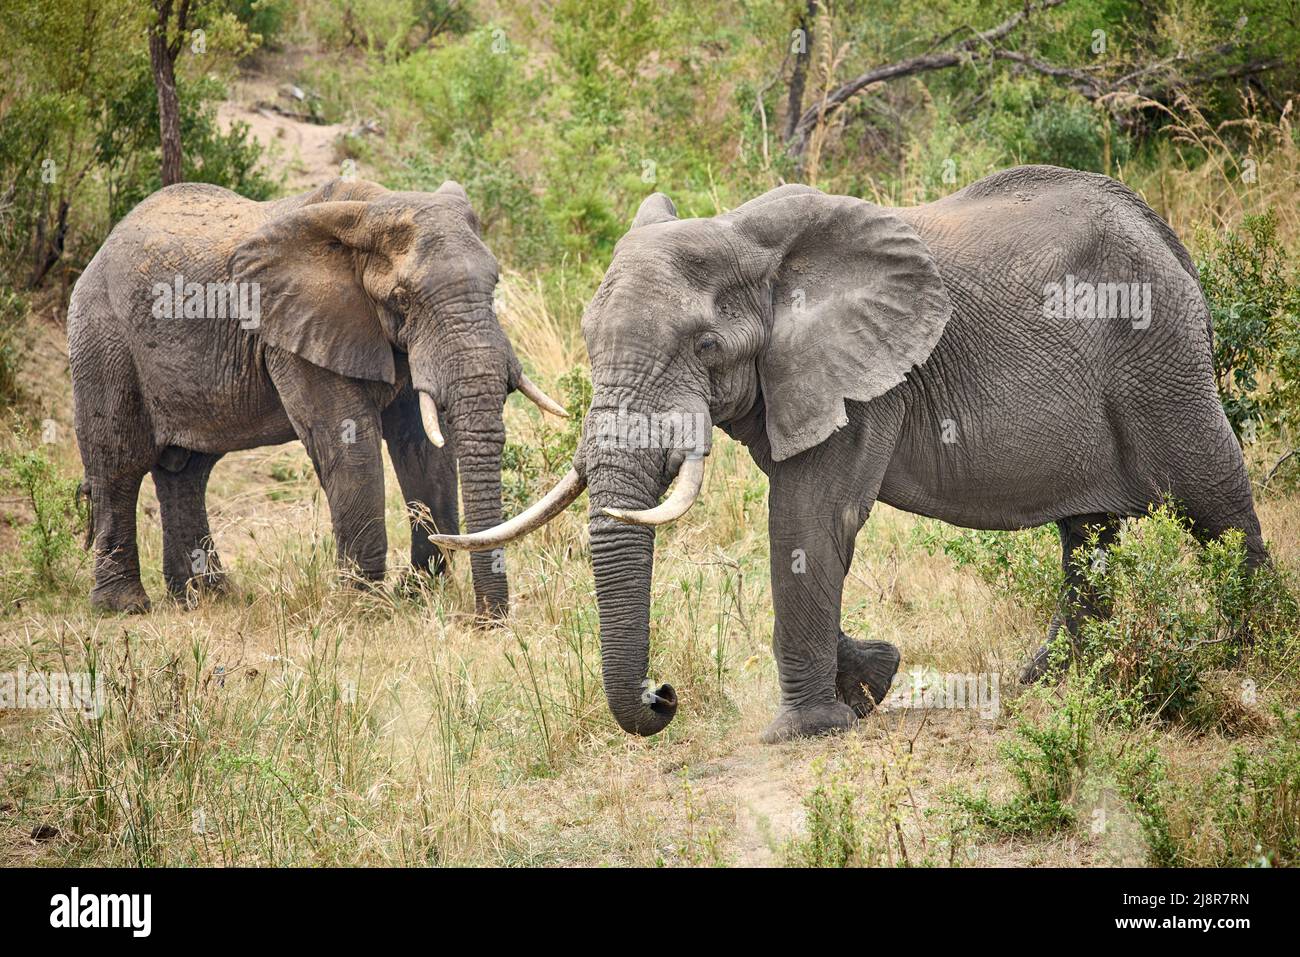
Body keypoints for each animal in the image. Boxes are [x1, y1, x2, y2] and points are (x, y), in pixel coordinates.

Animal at [68, 177, 566, 617]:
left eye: (494, 285)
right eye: (403, 299)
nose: (488, 620)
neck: (372, 210)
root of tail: (101, 251)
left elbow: (424, 447)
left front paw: (419, 593)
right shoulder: (295, 333)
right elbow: (347, 444)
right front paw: (366, 607)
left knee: (187, 471)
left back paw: (206, 597)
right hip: (103, 339)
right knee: (119, 465)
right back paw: (124, 607)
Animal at [429, 165, 1268, 743]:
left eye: (705, 347)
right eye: (587, 340)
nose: (662, 695)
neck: (748, 241)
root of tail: (1168, 238)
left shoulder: (867, 381)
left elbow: (809, 519)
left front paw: (806, 730)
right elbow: (812, 530)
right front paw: (871, 680)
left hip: (1159, 353)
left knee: (1215, 498)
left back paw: (1246, 654)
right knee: (1089, 533)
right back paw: (1051, 683)